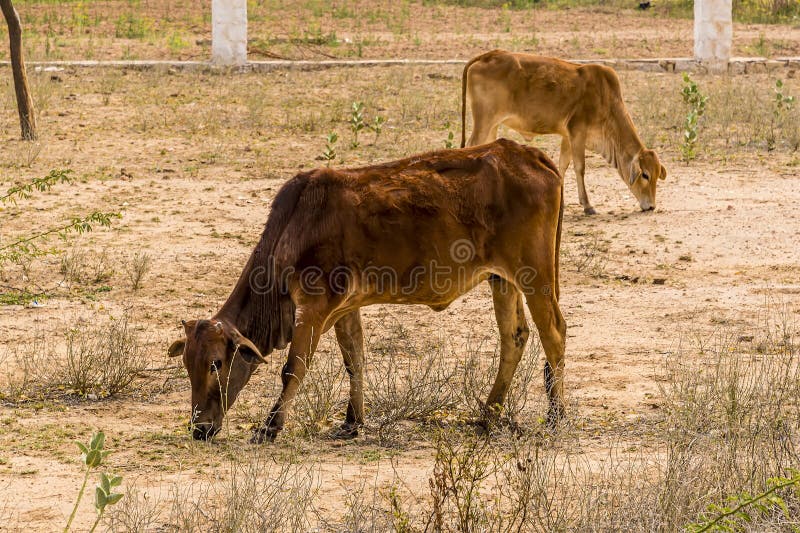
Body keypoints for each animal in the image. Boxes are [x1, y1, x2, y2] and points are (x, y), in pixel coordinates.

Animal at [168, 139, 567, 442]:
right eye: (187, 363)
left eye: (216, 363)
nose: (199, 428)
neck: (295, 225)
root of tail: (526, 152)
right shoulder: (345, 307)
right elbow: (354, 359)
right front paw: (352, 421)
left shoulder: (314, 307)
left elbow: (294, 367)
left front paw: (270, 426)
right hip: (502, 280)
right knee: (514, 337)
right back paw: (488, 415)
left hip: (535, 276)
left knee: (554, 334)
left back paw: (556, 416)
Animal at [461, 49, 667, 215]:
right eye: (645, 175)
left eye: (657, 175)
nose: (651, 206)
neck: (606, 99)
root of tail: (487, 55)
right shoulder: (577, 133)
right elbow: (580, 167)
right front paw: (588, 206)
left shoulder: (567, 136)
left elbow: (562, 166)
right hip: (484, 121)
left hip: (492, 126)